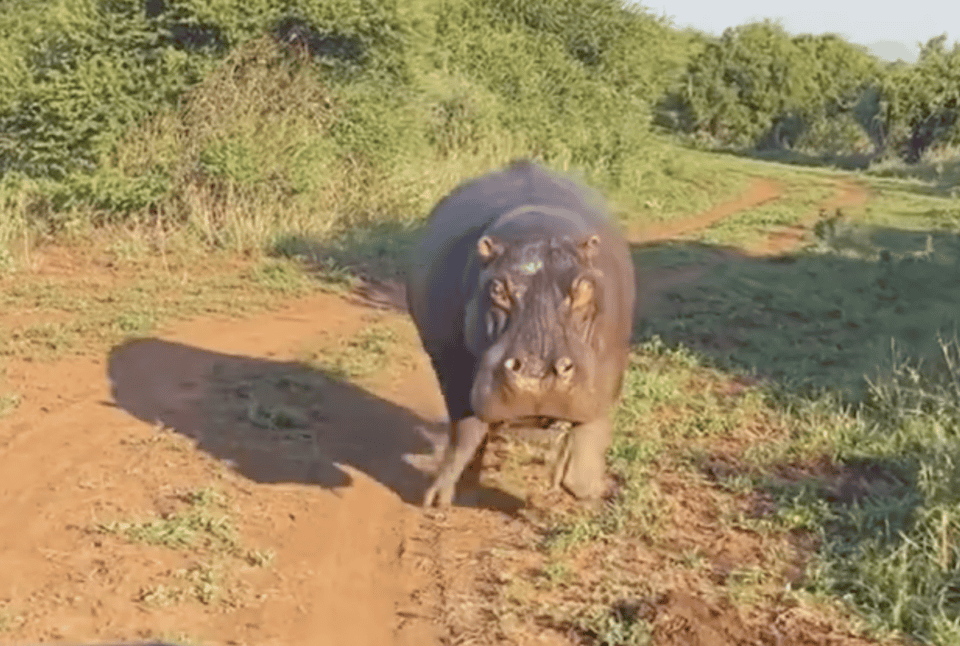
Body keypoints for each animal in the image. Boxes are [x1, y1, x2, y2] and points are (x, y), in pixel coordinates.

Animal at [406, 160, 637, 507]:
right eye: (497, 288)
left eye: (584, 286)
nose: (537, 374)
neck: (538, 233)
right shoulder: (451, 363)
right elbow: (465, 428)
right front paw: (437, 499)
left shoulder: (609, 365)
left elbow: (592, 427)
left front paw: (588, 489)